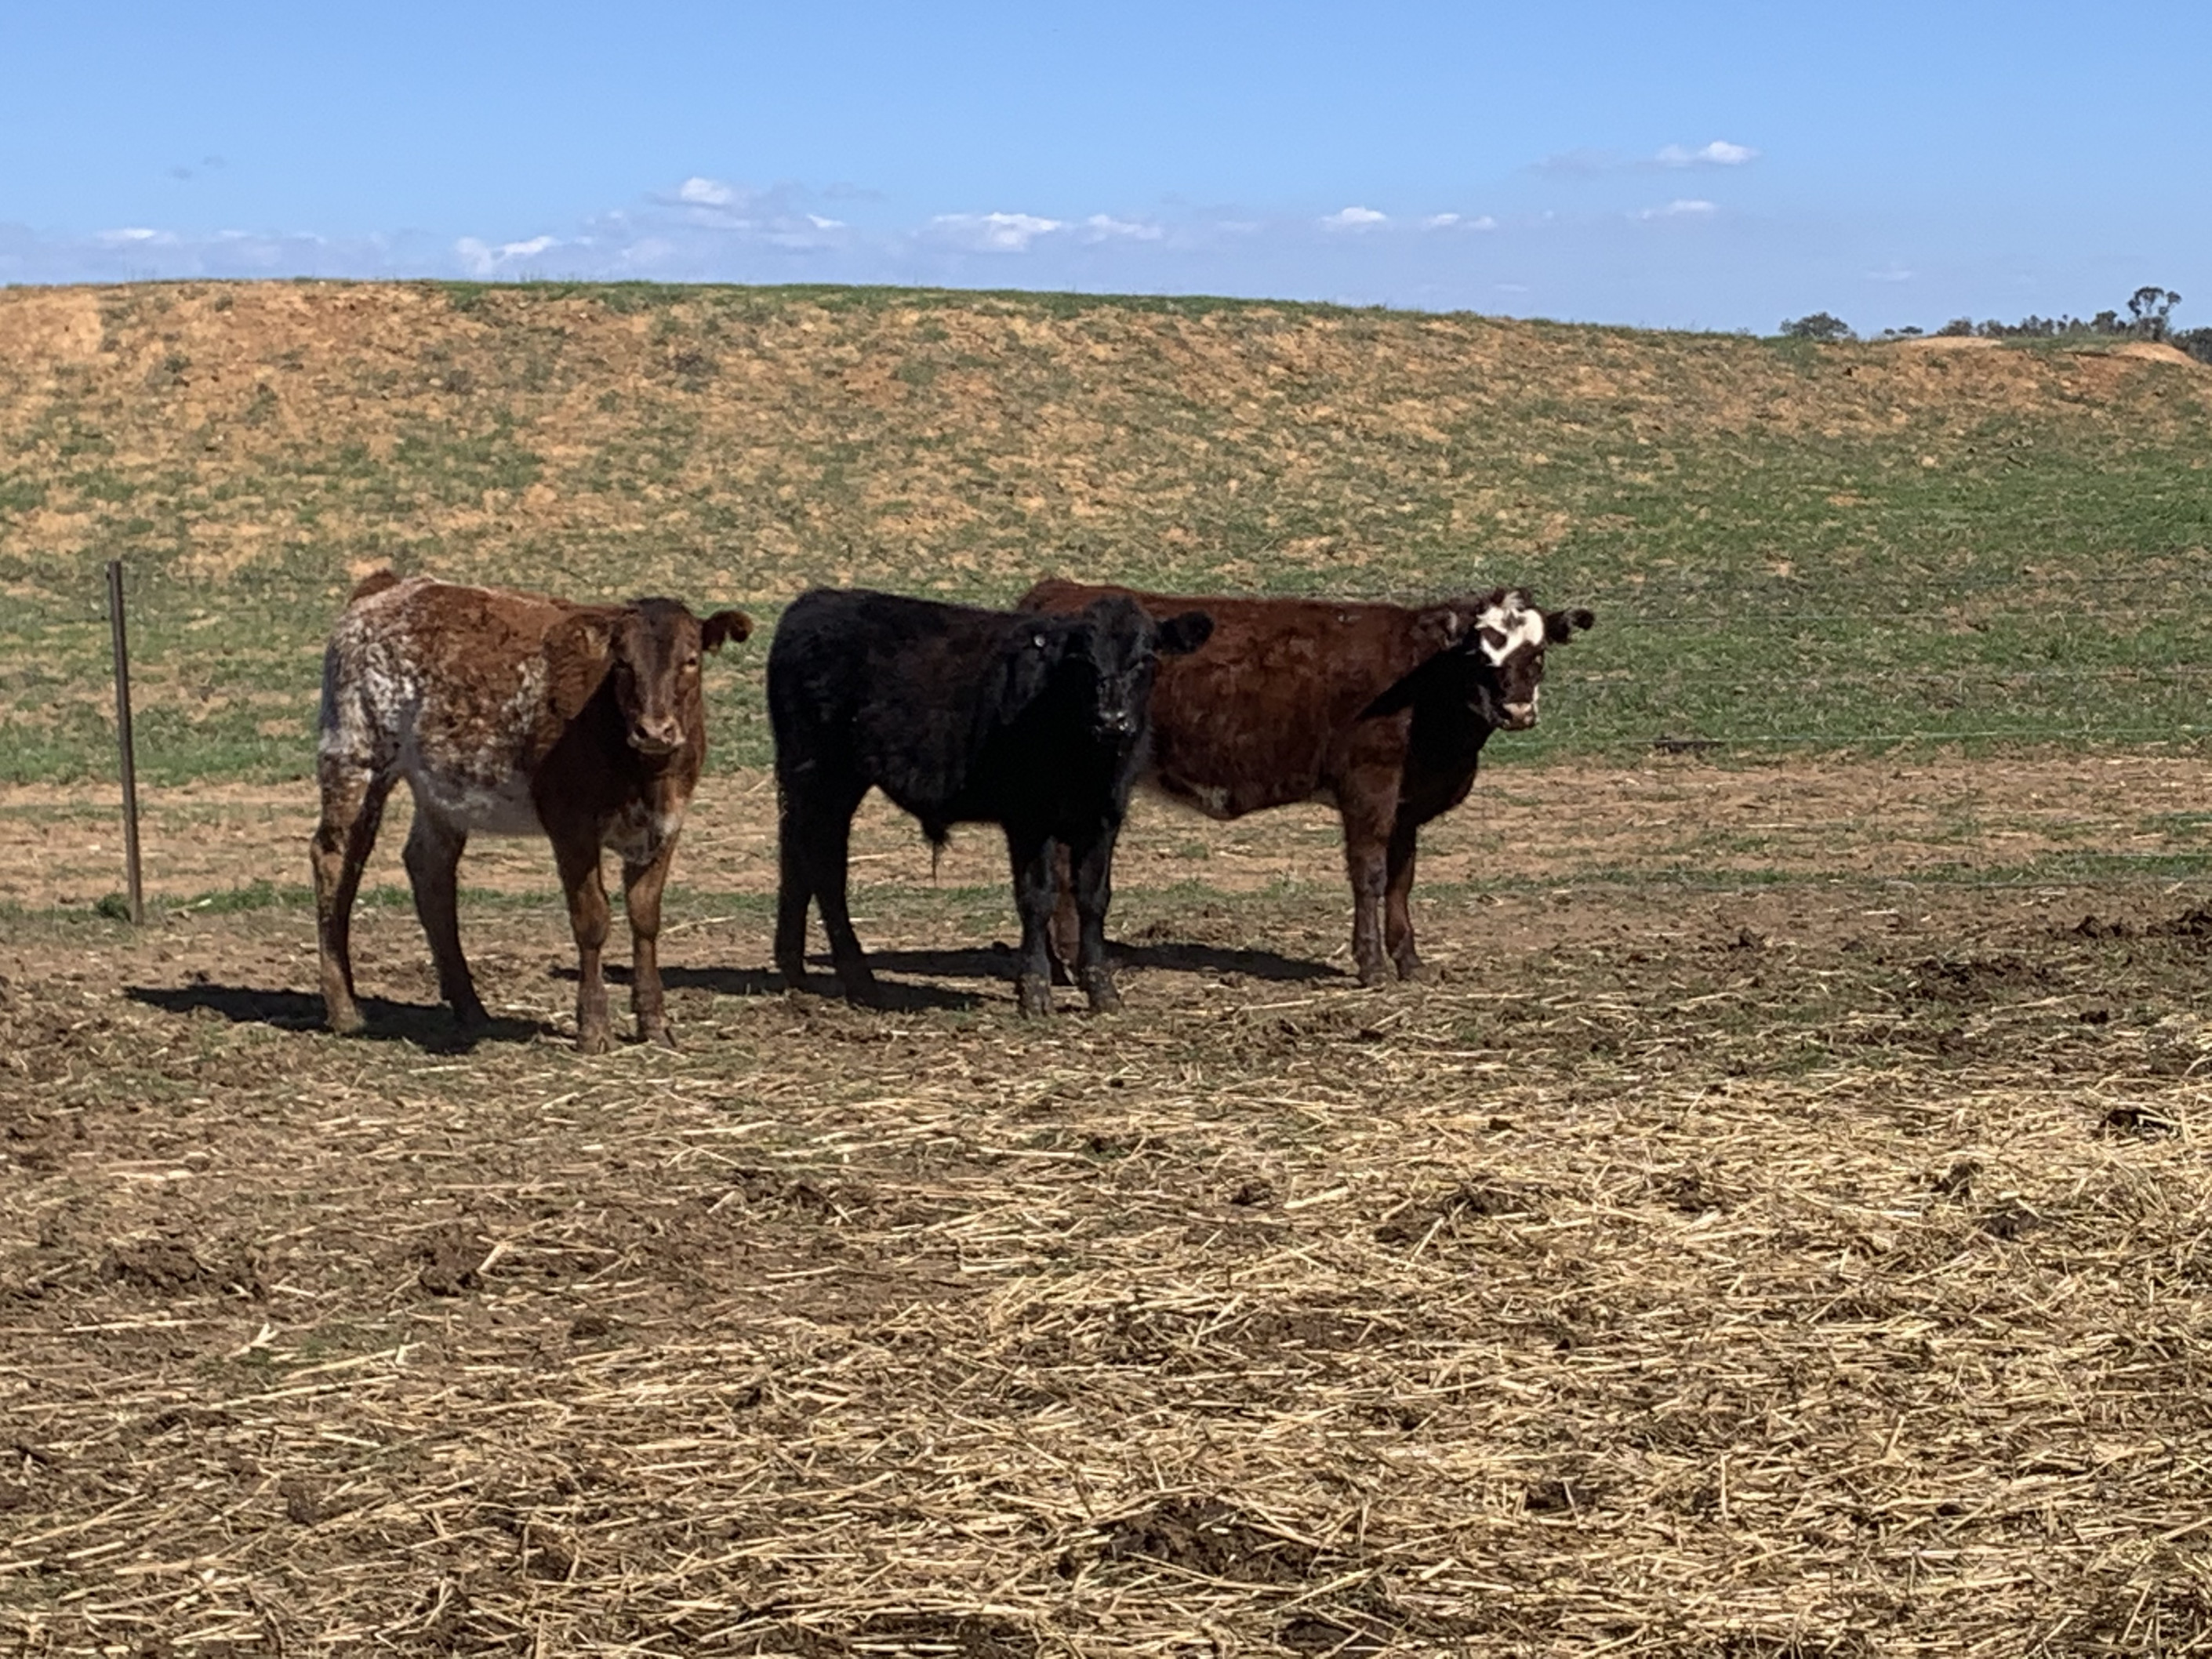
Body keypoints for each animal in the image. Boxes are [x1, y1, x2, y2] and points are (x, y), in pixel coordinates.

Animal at [311, 572, 752, 1052]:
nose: (654, 730)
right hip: (356, 755)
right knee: (335, 860)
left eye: (691, 660)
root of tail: (388, 587)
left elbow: (645, 918)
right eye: (622, 663)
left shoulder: (667, 823)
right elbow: (592, 920)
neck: (643, 771)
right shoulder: (571, 824)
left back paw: (471, 1008)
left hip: (439, 787)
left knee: (430, 868)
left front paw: (655, 1024)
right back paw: (344, 1009)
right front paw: (594, 1028)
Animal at [767, 587, 1212, 1014]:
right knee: (826, 869)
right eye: (1082, 660)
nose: (1112, 720)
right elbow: (1037, 898)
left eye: (1146, 657)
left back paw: (794, 968)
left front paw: (1103, 991)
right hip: (823, 777)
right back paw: (859, 979)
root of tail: (816, 600)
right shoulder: (1029, 819)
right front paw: (1034, 991)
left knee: (797, 858)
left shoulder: (1104, 817)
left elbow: (1093, 898)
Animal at [1019, 580, 1593, 986]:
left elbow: (1401, 879)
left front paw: (1409, 960)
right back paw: (1070, 962)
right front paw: (1371, 965)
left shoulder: (1405, 806)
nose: (1516, 711)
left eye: (1538, 654)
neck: (1425, 685)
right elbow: (1369, 876)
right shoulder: (1368, 789)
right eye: (1479, 655)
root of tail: (1060, 590)